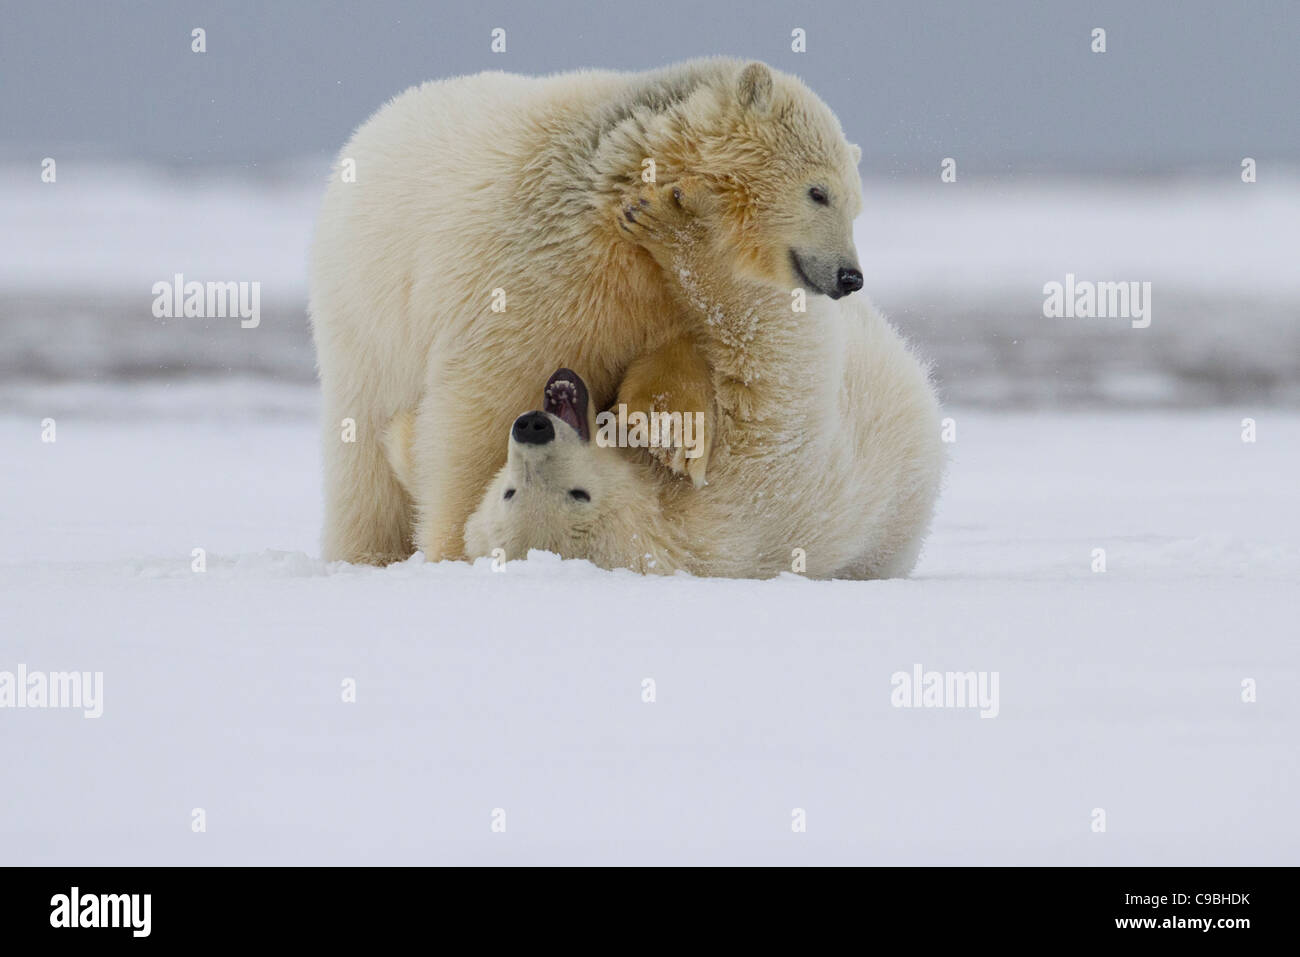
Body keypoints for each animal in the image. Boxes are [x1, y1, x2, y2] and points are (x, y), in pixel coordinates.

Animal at [310, 58, 865, 564]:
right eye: (819, 192)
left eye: (856, 206)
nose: (850, 277)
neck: (608, 192)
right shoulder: (538, 270)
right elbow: (479, 409)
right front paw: (456, 544)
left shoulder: (658, 292)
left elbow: (688, 350)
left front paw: (669, 438)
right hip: (364, 317)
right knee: (363, 450)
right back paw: (368, 553)